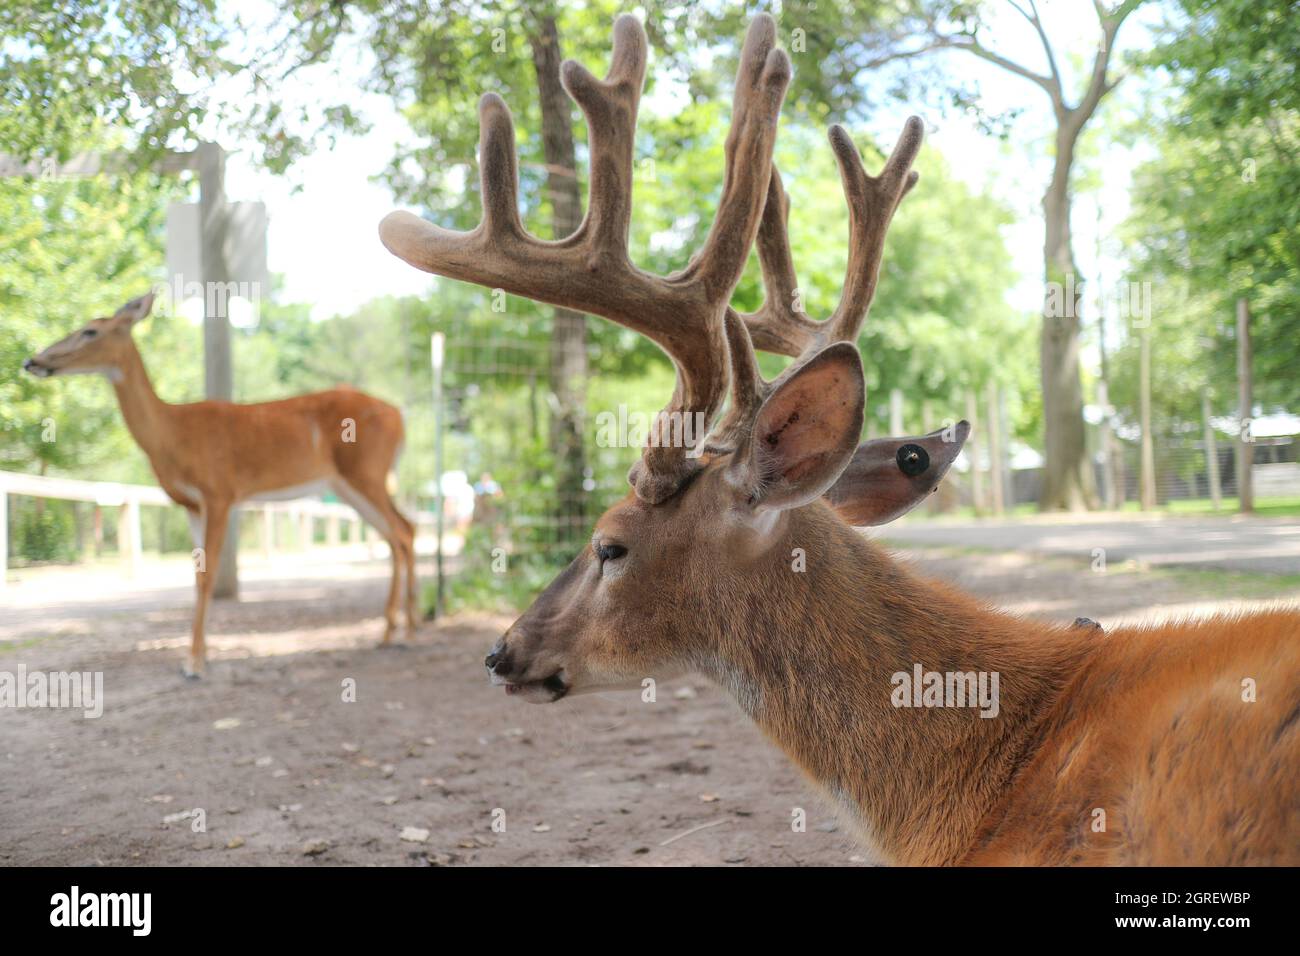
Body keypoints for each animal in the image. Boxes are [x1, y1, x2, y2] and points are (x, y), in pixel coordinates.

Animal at [23, 293, 418, 678]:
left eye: (90, 331)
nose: (33, 360)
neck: (171, 434)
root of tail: (400, 418)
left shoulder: (219, 492)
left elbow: (207, 574)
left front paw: (194, 663)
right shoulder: (191, 504)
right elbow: (197, 573)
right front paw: (202, 655)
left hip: (365, 471)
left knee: (402, 530)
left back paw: (408, 632)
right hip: (347, 485)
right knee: (399, 533)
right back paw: (392, 631)